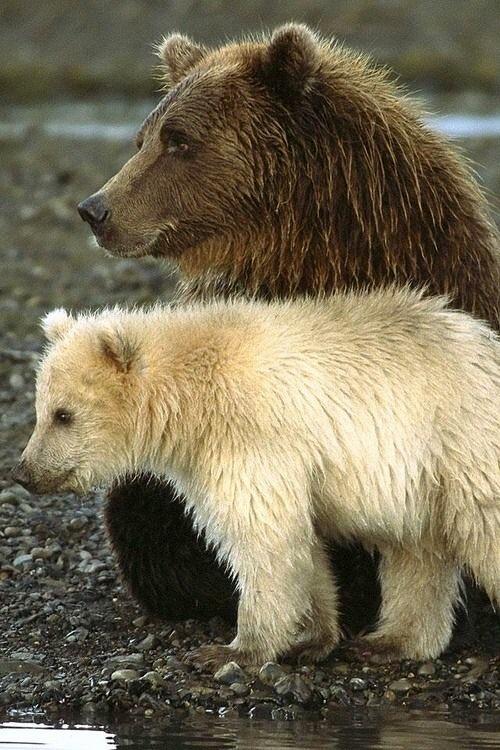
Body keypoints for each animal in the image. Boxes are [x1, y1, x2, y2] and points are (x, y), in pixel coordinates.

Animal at [13, 288, 500, 668]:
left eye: (63, 415)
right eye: (40, 409)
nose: (24, 472)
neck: (192, 403)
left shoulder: (249, 439)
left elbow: (263, 537)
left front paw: (233, 650)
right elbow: (300, 546)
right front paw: (310, 636)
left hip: (461, 445)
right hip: (423, 479)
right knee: (417, 554)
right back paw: (391, 641)